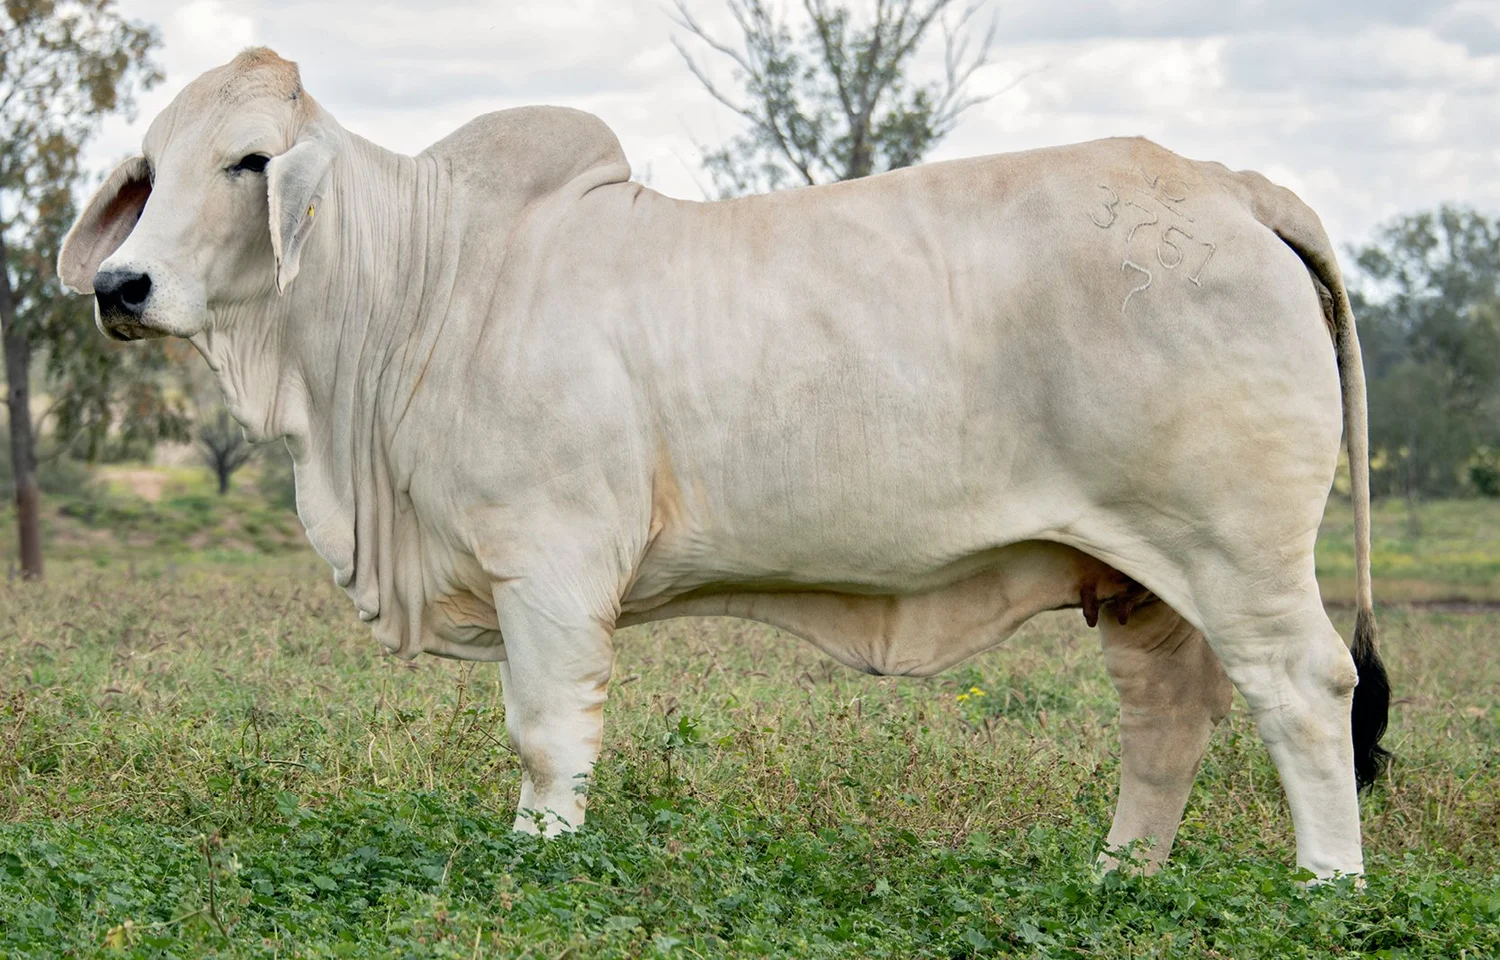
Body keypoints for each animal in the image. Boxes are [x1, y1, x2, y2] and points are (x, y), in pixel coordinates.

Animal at [58, 48, 1389, 879]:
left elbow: (546, 735)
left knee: (1305, 691)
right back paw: (1120, 877)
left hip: (1238, 552)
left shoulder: (550, 564)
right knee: (1170, 715)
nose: (122, 286)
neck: (423, 283)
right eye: (150, 171)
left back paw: (1325, 888)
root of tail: (1229, 186)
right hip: (1145, 577)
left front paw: (536, 858)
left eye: (248, 162)